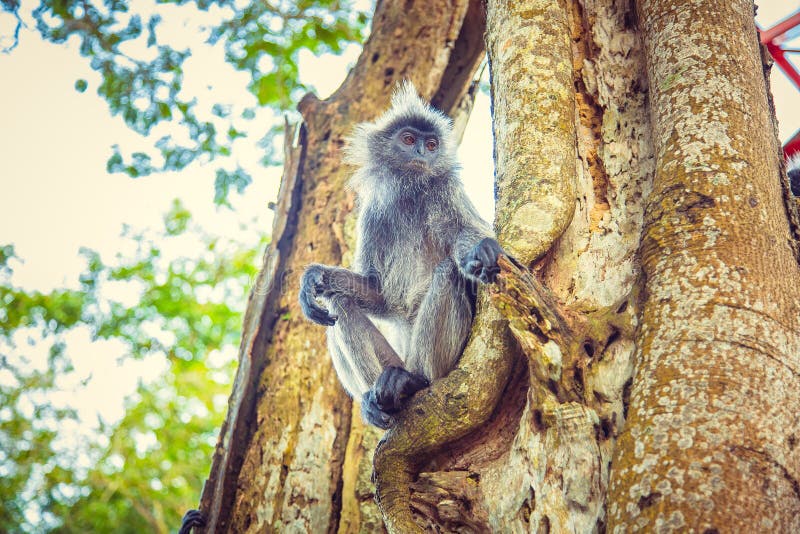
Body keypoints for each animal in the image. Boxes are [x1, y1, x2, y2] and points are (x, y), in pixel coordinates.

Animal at [299, 81, 504, 429]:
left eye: (431, 144)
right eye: (409, 140)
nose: (421, 152)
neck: (411, 193)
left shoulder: (446, 191)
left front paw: (480, 250)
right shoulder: (373, 213)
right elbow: (378, 293)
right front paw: (315, 278)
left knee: (447, 271)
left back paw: (415, 382)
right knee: (339, 304)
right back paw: (375, 403)